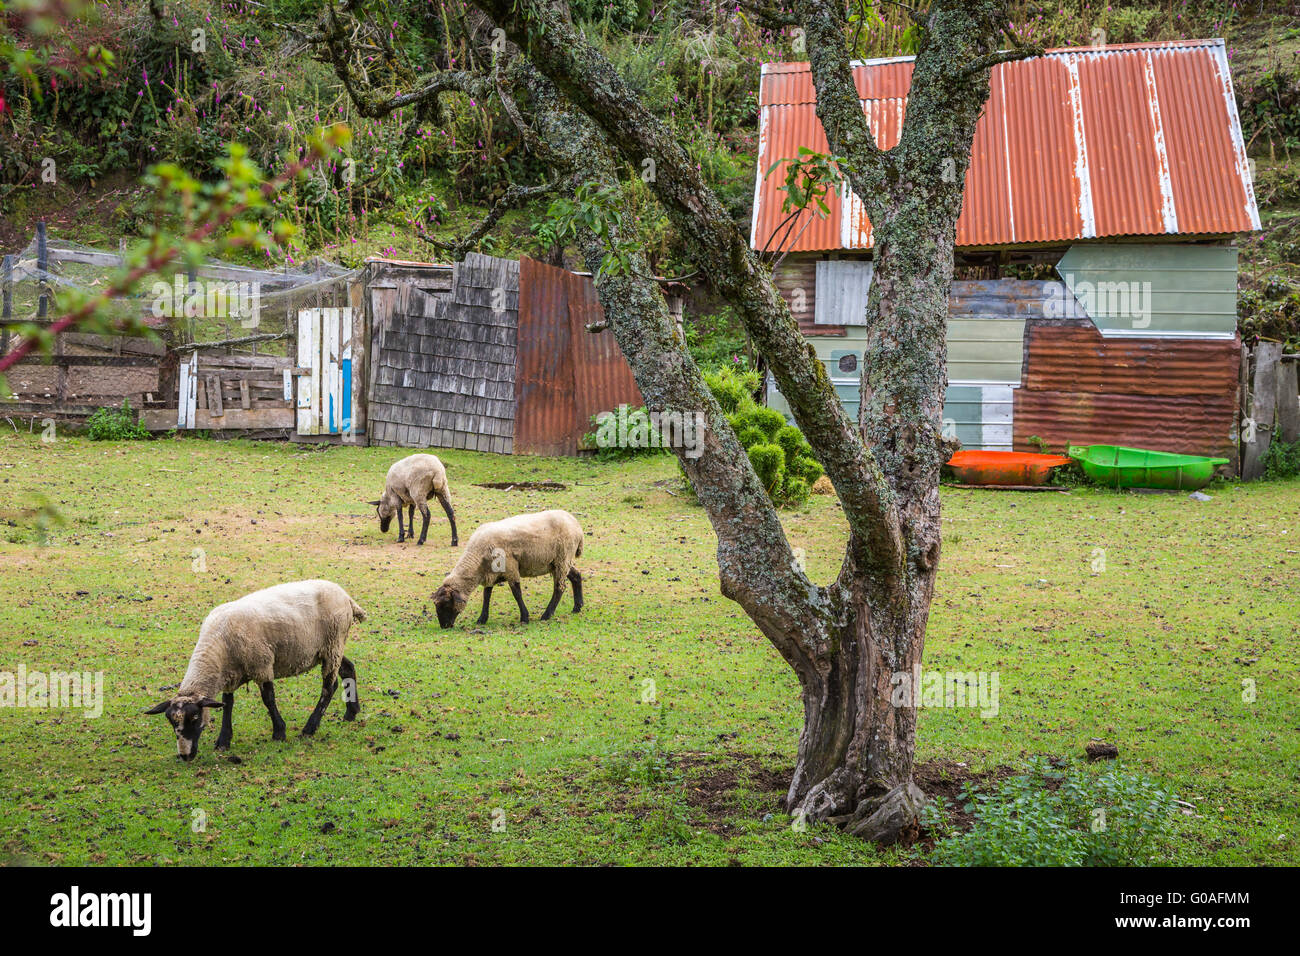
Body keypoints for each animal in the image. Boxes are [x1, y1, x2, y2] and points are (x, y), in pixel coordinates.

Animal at [144, 579, 366, 761]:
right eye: (171, 722)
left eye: (195, 718)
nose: (185, 756)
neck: (217, 647)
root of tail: (347, 598)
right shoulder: (230, 676)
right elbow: (227, 704)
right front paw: (223, 740)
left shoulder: (261, 665)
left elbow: (268, 699)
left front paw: (279, 732)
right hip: (328, 649)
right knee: (347, 669)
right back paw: (351, 713)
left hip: (332, 643)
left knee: (329, 686)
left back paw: (309, 728)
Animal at [431, 509, 584, 628]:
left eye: (446, 604)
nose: (444, 626)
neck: (477, 559)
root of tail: (577, 525)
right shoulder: (490, 573)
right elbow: (486, 594)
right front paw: (482, 619)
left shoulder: (511, 568)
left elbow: (517, 593)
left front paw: (524, 618)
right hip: (559, 562)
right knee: (576, 576)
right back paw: (577, 607)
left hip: (562, 557)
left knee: (559, 587)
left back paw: (547, 614)